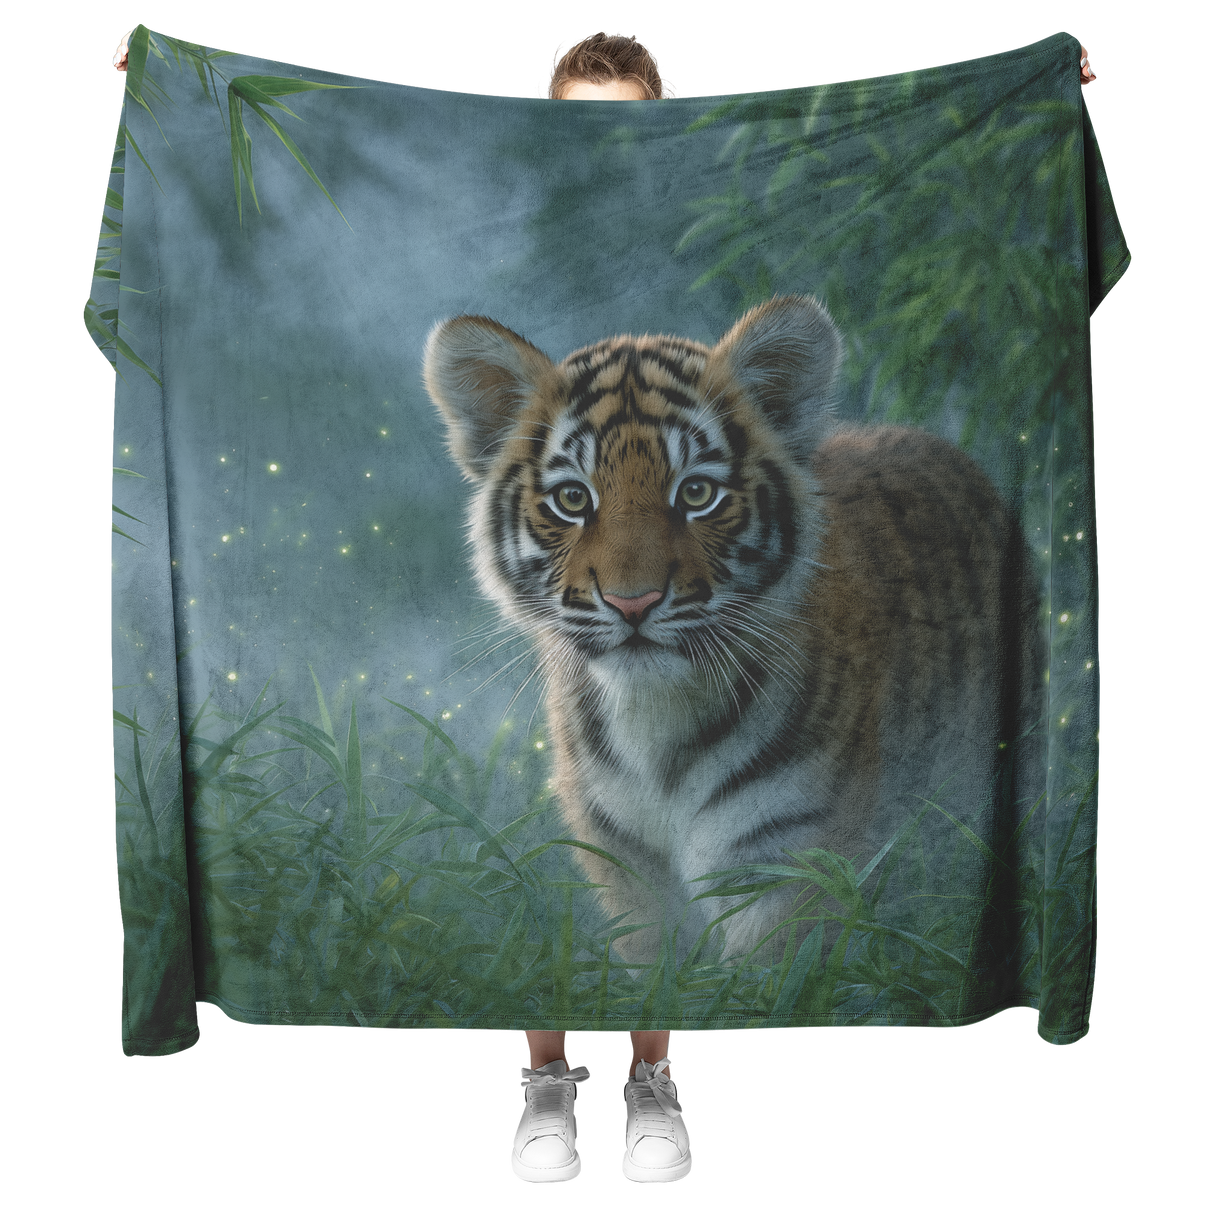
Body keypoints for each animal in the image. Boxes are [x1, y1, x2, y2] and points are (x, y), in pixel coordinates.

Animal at [422, 293, 1041, 982]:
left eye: (697, 492)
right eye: (573, 499)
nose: (632, 602)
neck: (654, 726)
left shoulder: (788, 853)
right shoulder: (629, 869)